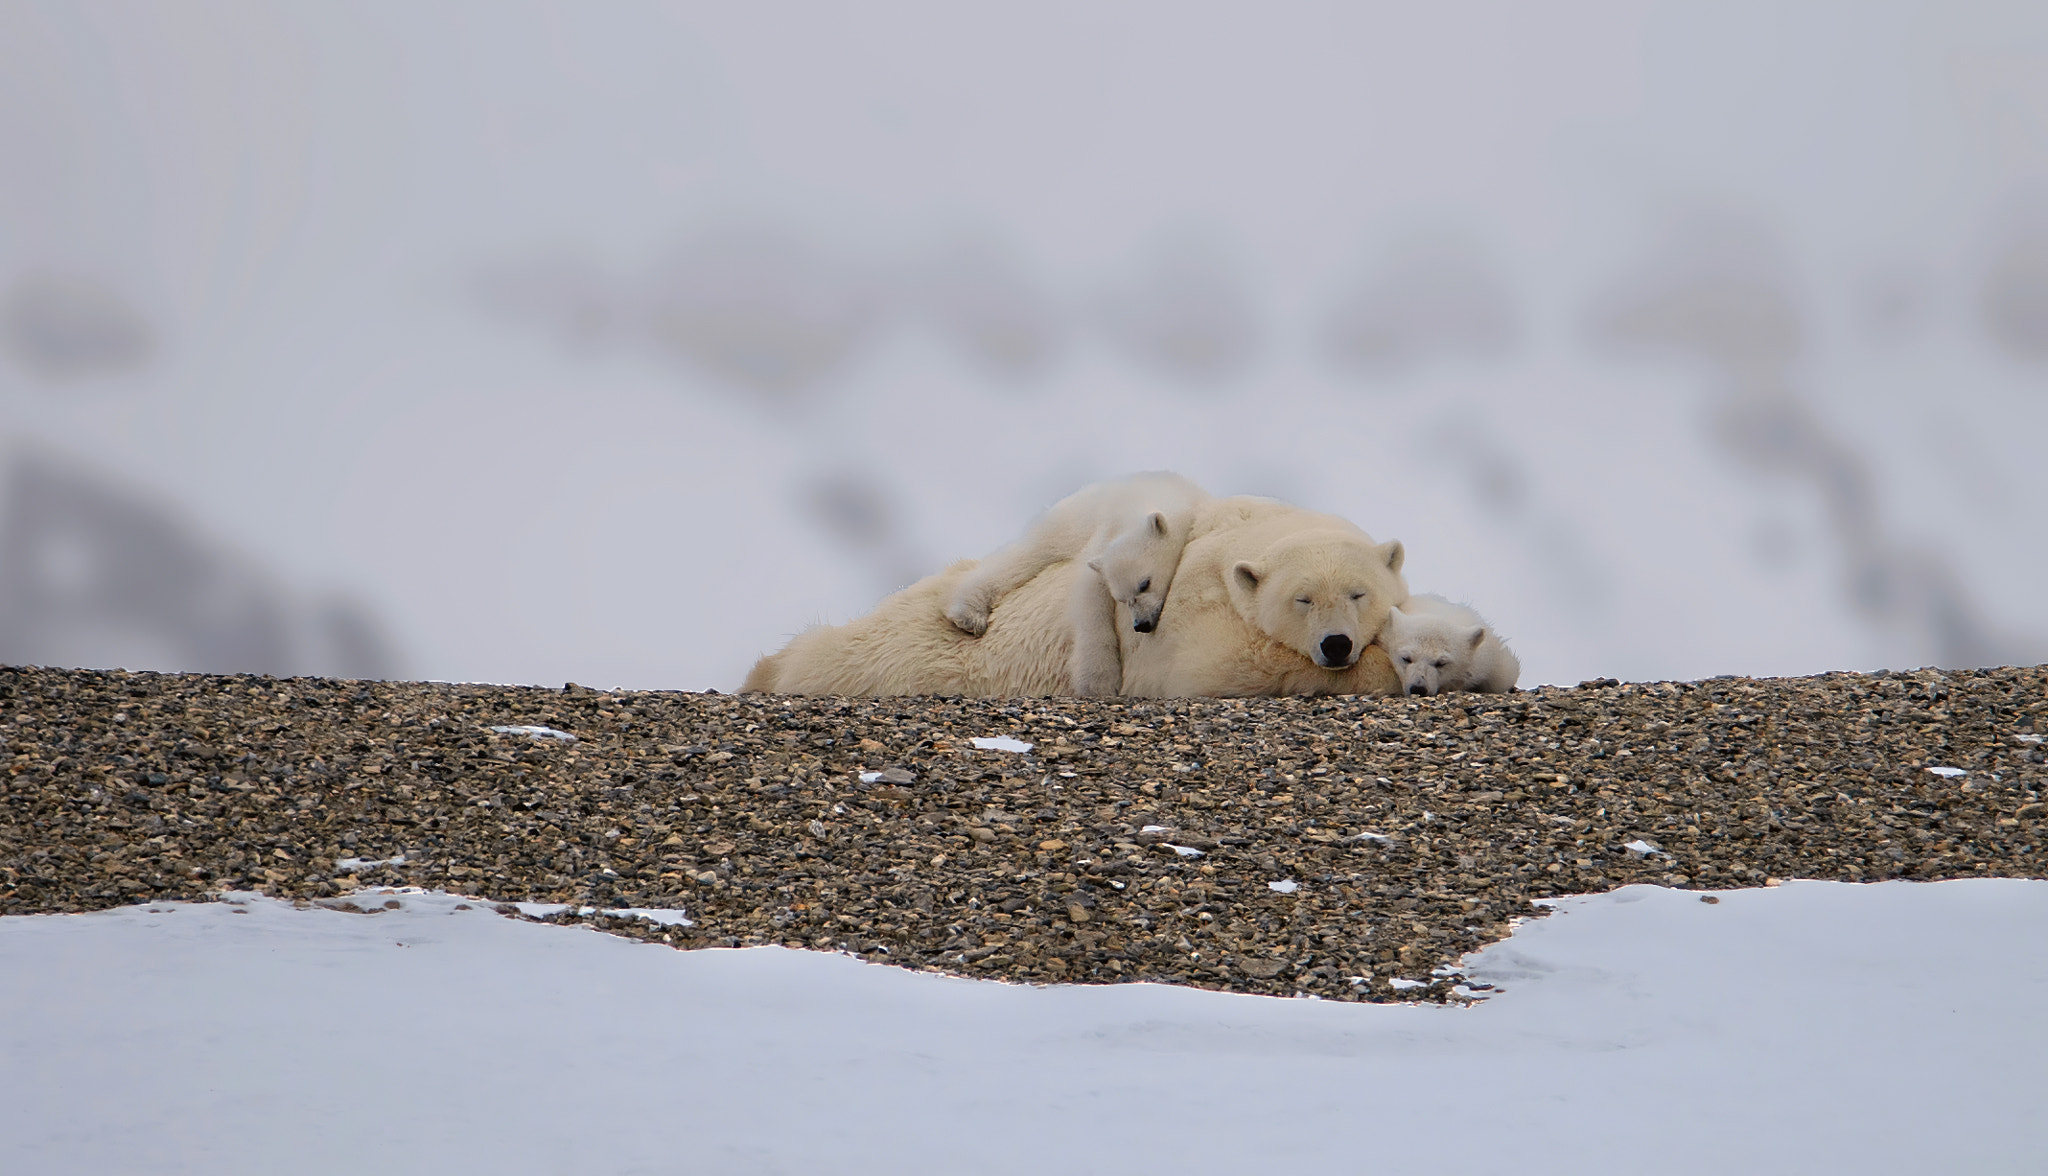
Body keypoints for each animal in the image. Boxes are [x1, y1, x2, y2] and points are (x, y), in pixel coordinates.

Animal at [944, 472, 1211, 696]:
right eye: (1123, 598)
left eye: (1144, 584)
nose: (1141, 625)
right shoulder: (1104, 533)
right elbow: (1088, 599)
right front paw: (1099, 681)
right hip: (1061, 526)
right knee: (1020, 558)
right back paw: (969, 616)